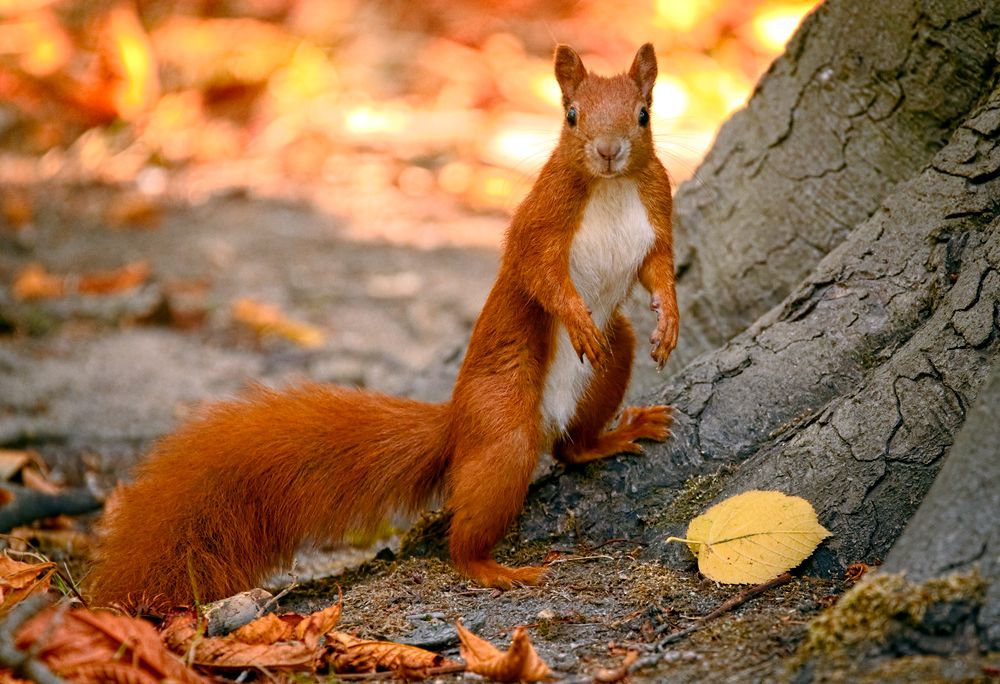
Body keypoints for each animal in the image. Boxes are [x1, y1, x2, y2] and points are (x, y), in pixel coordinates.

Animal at [85, 43, 680, 609]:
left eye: (644, 114)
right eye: (571, 115)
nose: (608, 151)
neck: (610, 188)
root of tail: (456, 423)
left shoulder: (657, 210)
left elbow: (659, 269)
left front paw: (669, 320)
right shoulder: (539, 223)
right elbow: (541, 277)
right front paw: (577, 319)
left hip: (610, 363)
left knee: (574, 442)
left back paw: (613, 435)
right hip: (503, 422)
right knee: (473, 521)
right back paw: (488, 566)